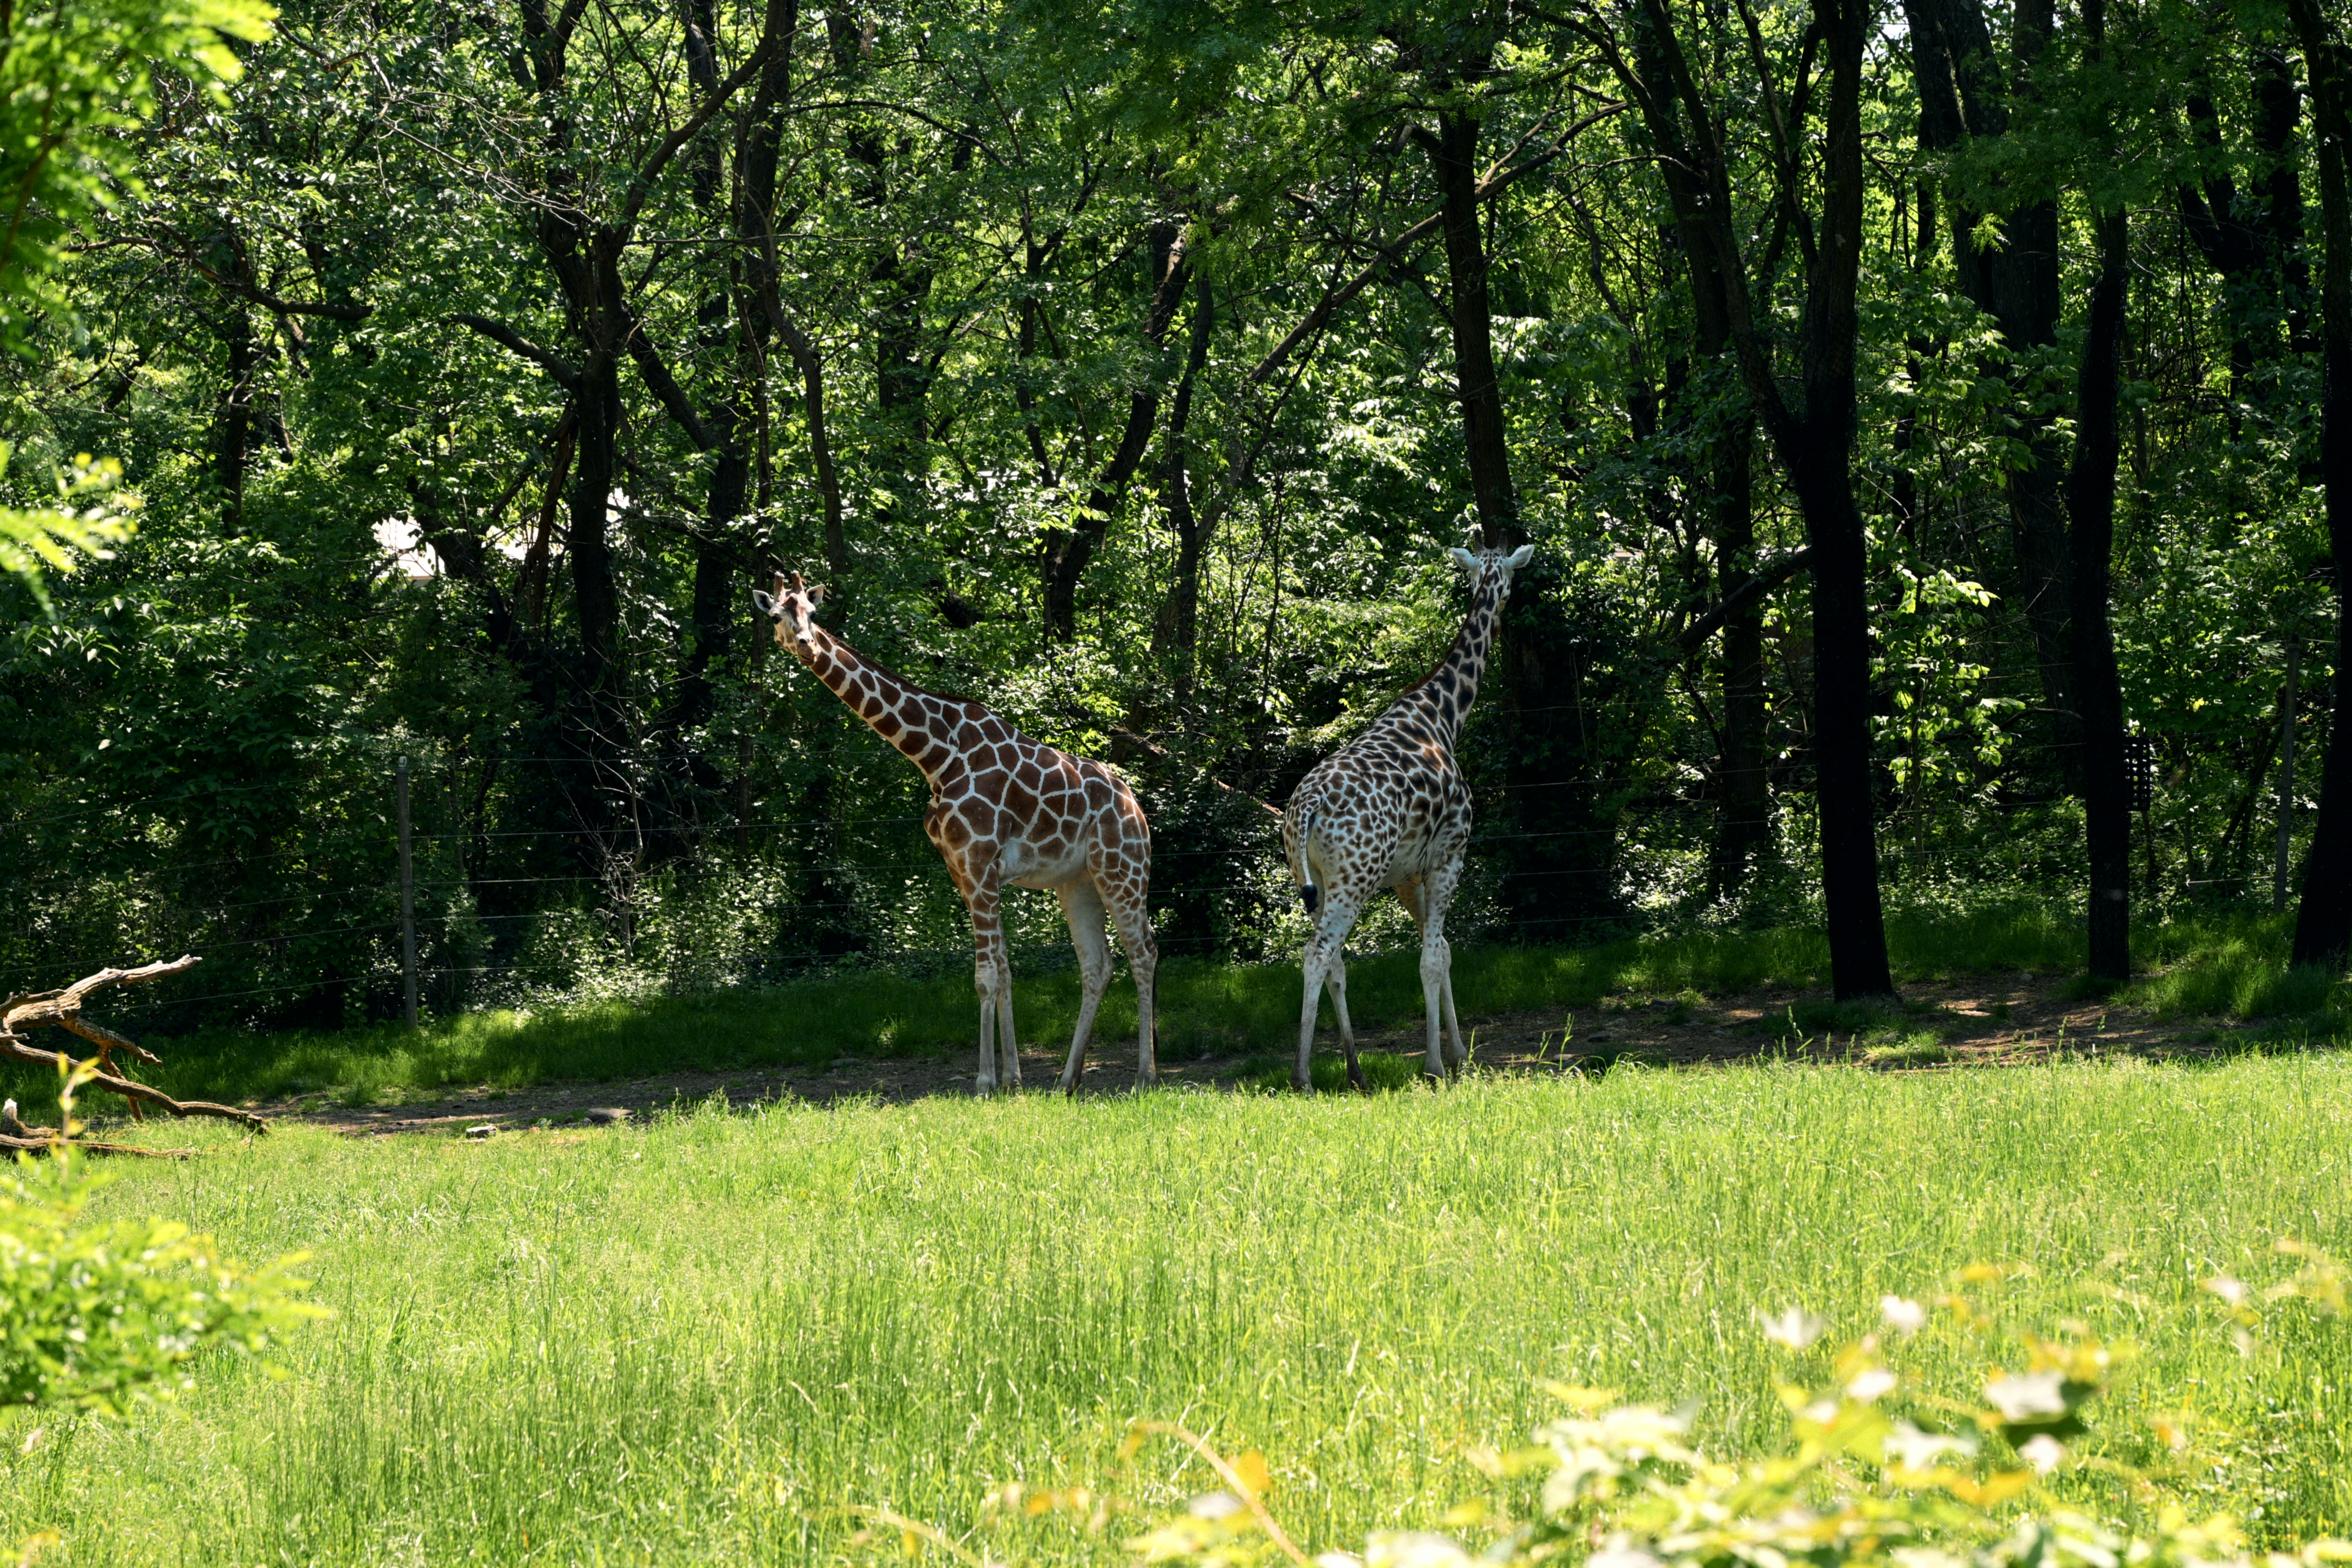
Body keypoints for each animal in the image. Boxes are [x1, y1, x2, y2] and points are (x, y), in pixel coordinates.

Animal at [752, 573, 1157, 1095]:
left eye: (812, 612)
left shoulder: (980, 862)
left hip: (1122, 869)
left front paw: (985, 1080)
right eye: (777, 615)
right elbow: (1003, 969)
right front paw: (1012, 1078)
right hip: (1077, 882)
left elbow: (986, 975)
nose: (805, 643)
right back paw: (1067, 1079)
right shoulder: (962, 870)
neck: (934, 756)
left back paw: (1145, 1075)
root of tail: (1136, 805)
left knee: (1143, 952)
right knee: (1098, 964)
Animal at [1279, 540, 1534, 1091]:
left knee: (1335, 962)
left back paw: (1355, 1070)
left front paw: (1460, 1054)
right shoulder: (1450, 855)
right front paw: (1438, 1065)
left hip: (1316, 880)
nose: (1507, 602)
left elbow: (1444, 950)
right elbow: (1432, 958)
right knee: (1318, 955)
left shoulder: (1405, 875)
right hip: (1354, 879)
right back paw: (1303, 1075)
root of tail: (1305, 809)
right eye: (1509, 575)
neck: (1443, 716)